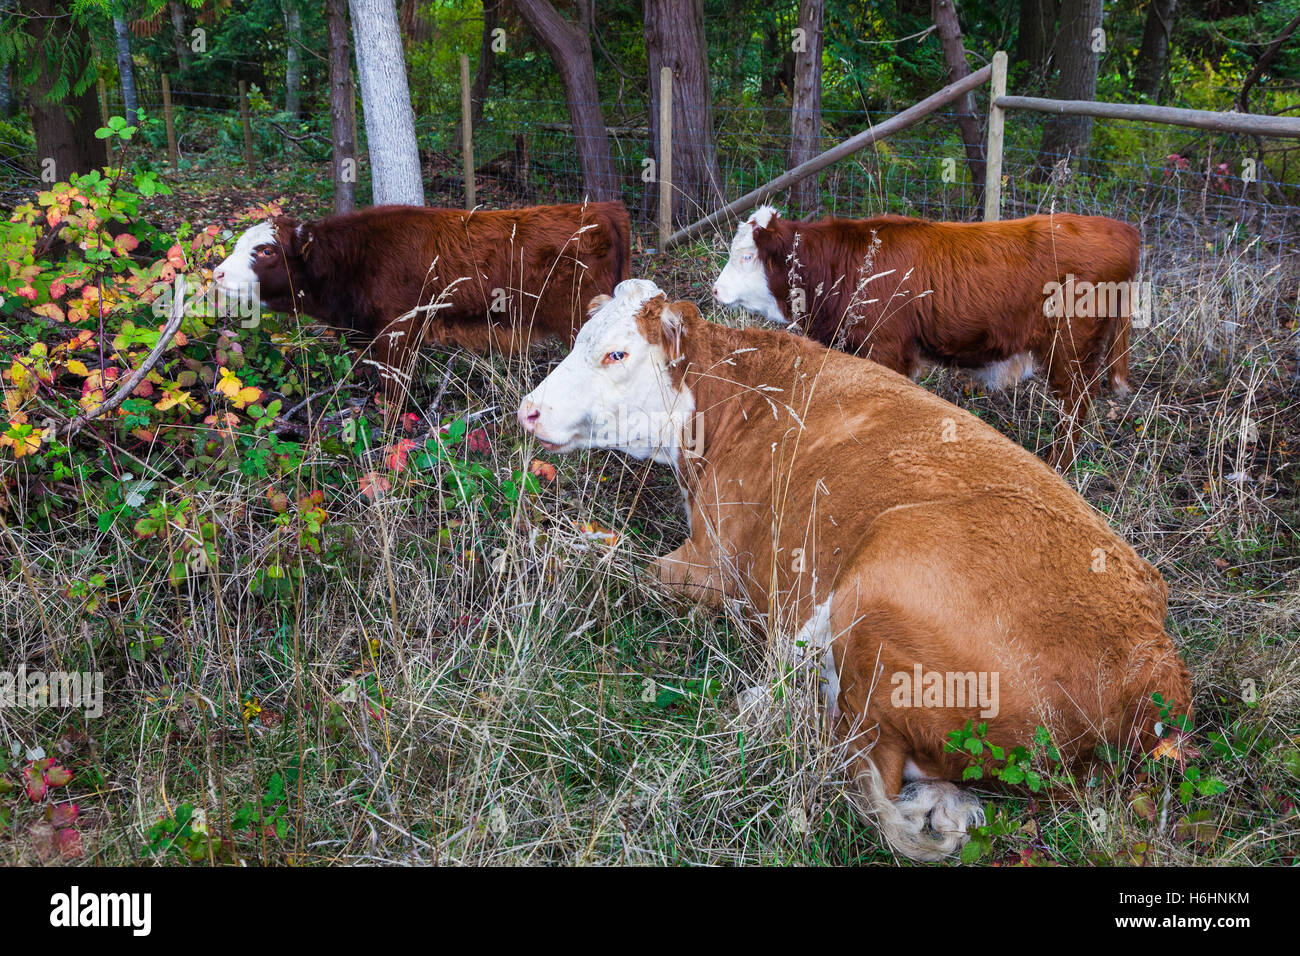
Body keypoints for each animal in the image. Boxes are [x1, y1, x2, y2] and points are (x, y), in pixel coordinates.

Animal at [517, 278, 1191, 861]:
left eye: (616, 352)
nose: (528, 410)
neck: (734, 402)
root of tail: (1152, 670)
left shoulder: (711, 563)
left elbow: (606, 556)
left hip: (878, 584)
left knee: (848, 751)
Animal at [712, 206, 1141, 468]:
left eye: (747, 257)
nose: (715, 291)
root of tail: (1123, 229)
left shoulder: (885, 348)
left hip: (1069, 349)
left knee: (1074, 404)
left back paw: (1057, 464)